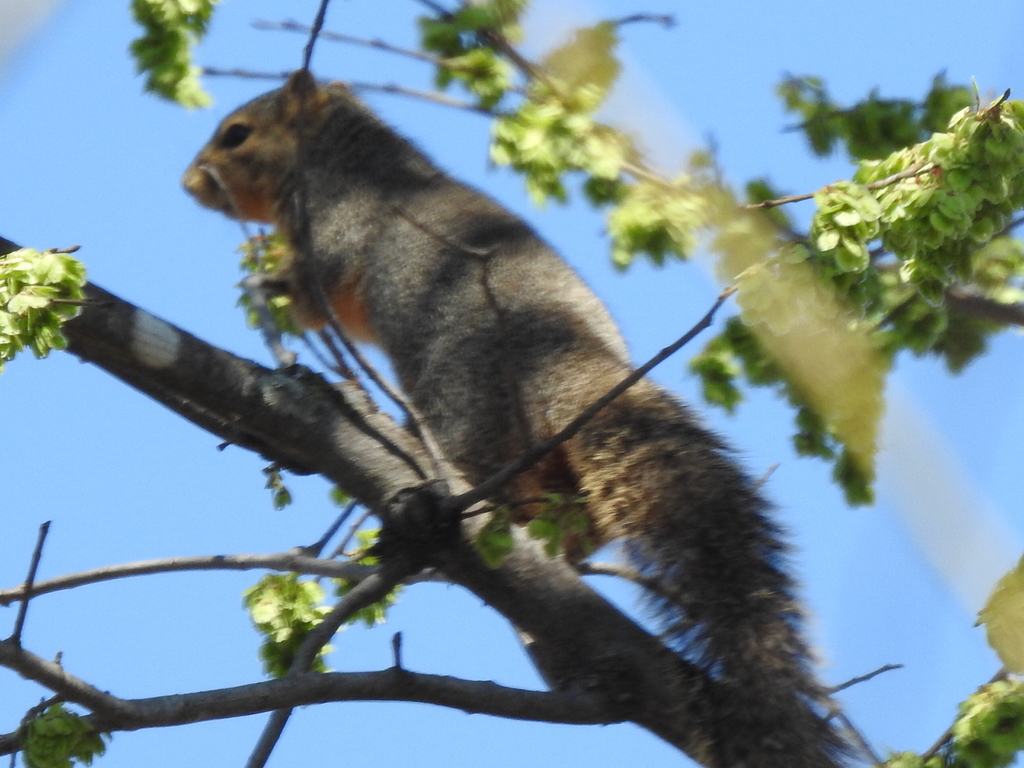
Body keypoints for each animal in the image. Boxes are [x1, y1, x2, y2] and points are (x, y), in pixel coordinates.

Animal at [183, 70, 847, 768]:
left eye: (236, 134)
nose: (190, 182)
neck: (340, 155)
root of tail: (564, 355)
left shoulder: (332, 225)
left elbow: (315, 289)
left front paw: (268, 278)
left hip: (465, 403)